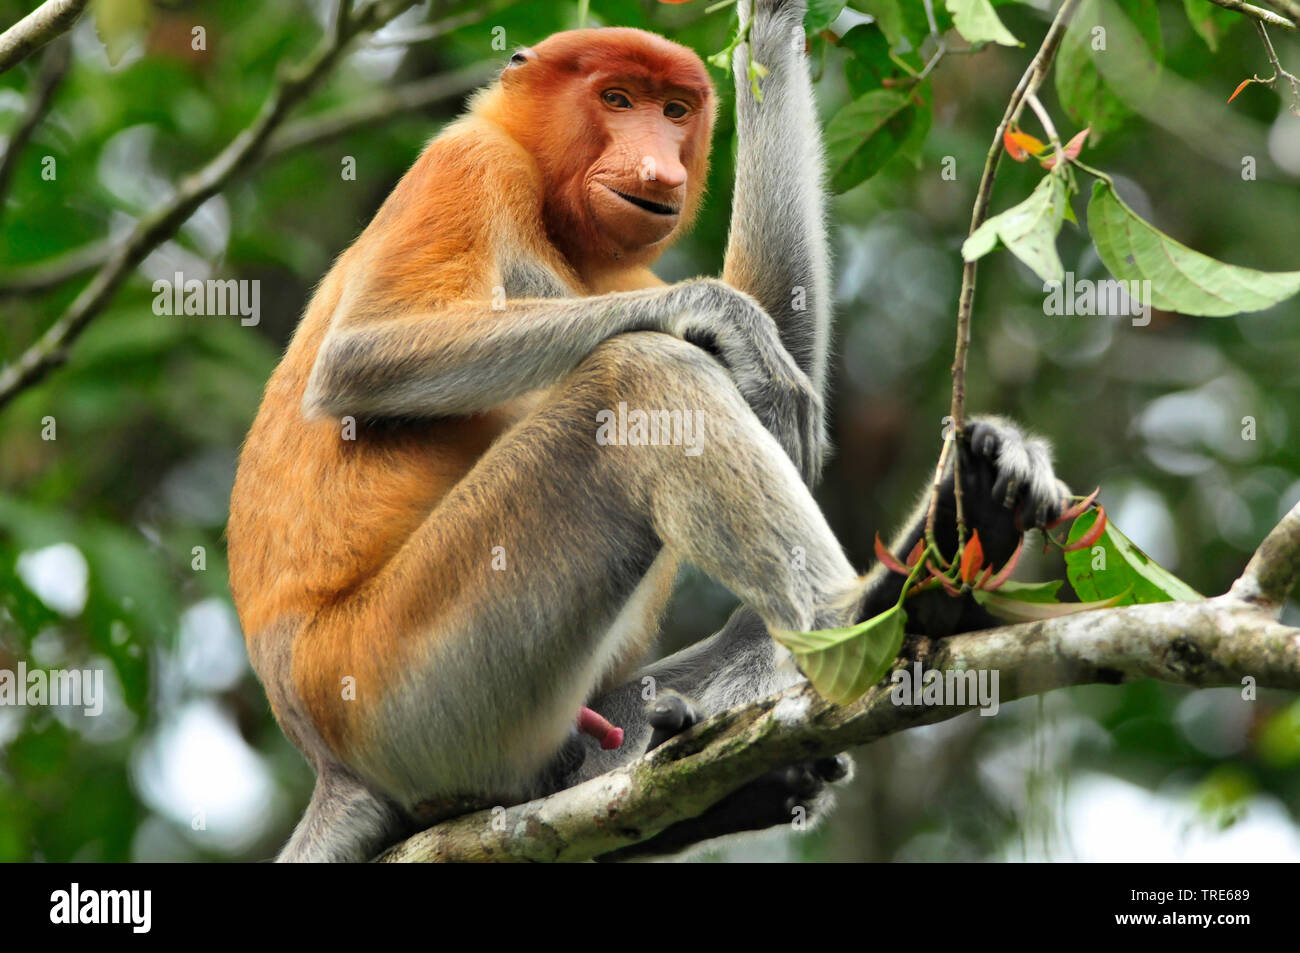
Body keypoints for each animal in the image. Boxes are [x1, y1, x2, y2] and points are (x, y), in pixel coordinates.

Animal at [227, 0, 1070, 862]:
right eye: (616, 99)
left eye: (675, 111)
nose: (660, 169)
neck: (553, 220)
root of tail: (329, 757)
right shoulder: (467, 165)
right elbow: (362, 353)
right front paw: (721, 316)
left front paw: (773, 22)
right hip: (399, 680)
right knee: (638, 371)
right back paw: (874, 615)